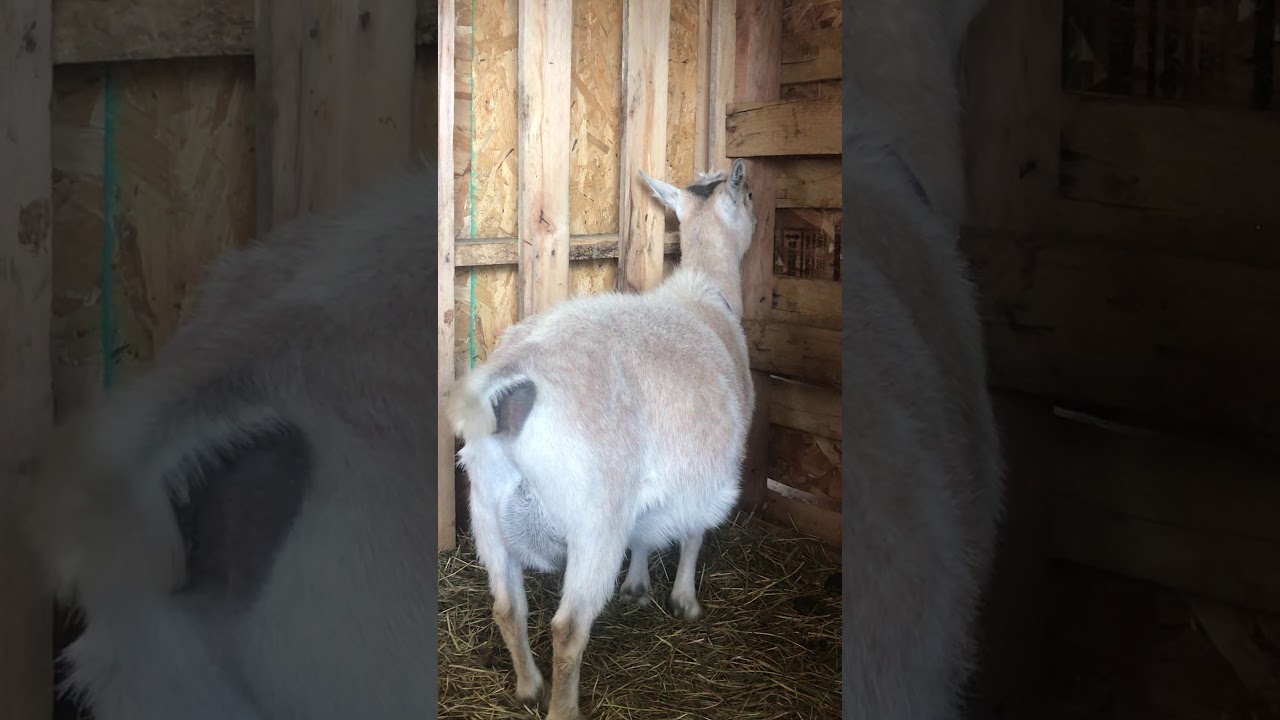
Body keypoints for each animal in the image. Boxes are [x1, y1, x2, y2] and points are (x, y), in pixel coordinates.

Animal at [446, 159, 757, 720]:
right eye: (749, 197)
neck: (708, 292)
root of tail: (512, 380)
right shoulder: (714, 467)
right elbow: (694, 533)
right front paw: (685, 601)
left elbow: (646, 534)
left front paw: (637, 586)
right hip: (594, 519)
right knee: (568, 627)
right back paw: (562, 705)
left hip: (485, 506)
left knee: (507, 606)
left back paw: (530, 686)